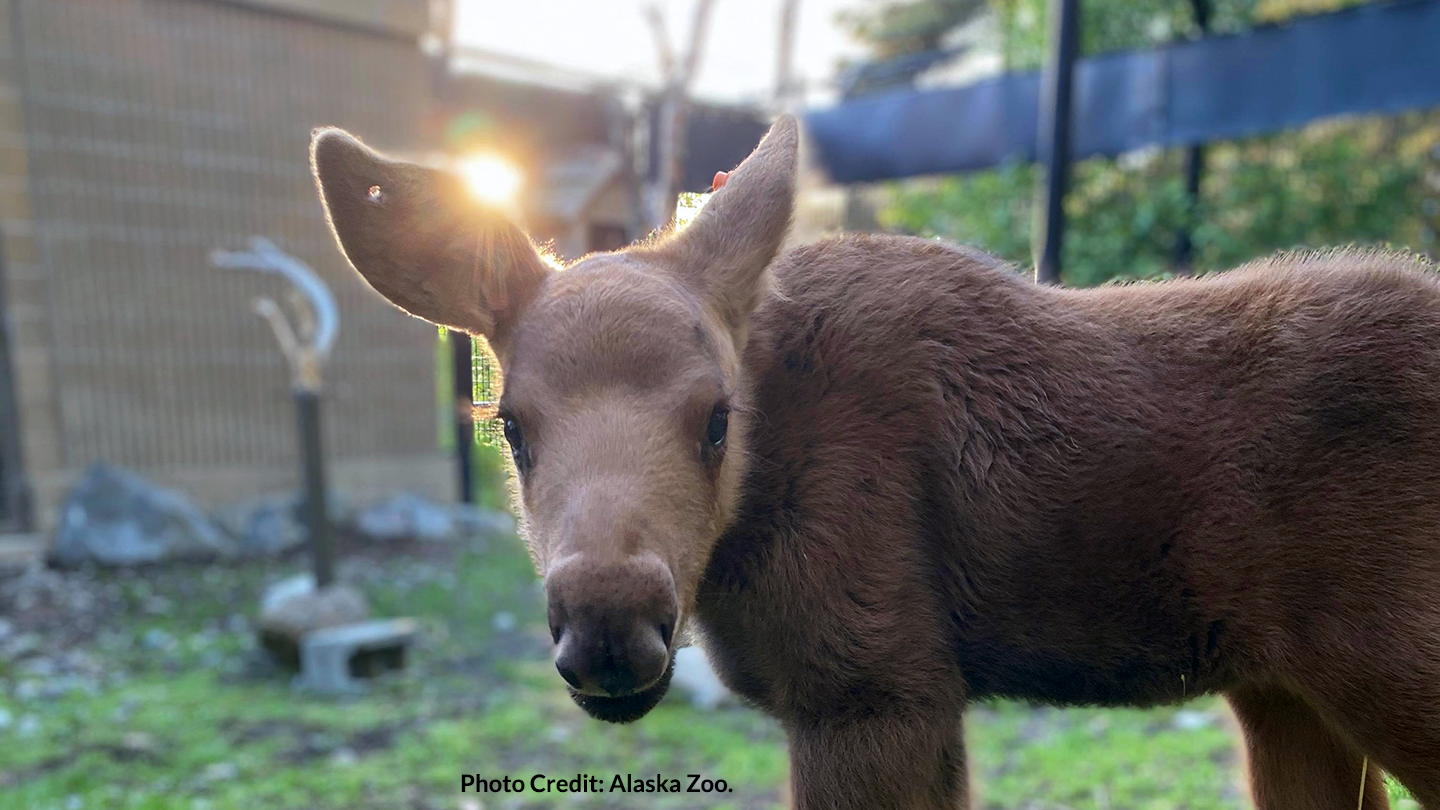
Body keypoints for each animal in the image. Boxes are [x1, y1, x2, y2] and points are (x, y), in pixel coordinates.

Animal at [311, 115, 1440, 810]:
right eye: (512, 426)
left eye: (717, 417)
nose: (607, 625)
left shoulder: (874, 684)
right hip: (1286, 693)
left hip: (1388, 663)